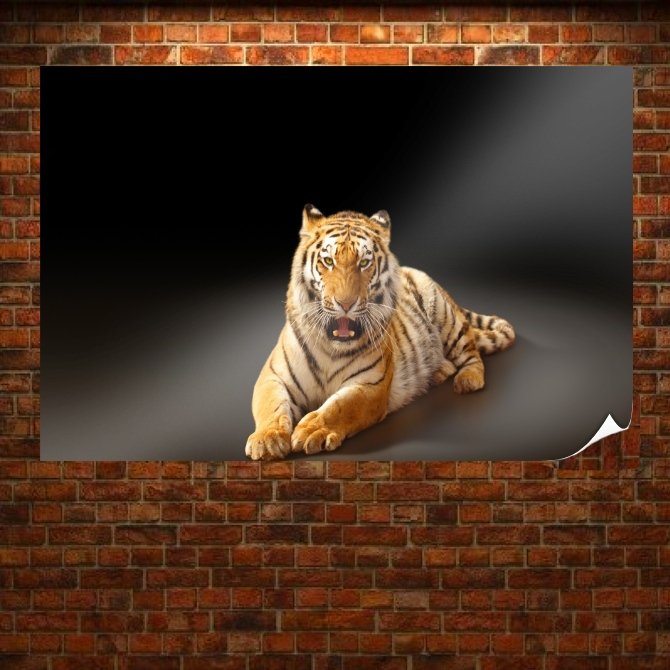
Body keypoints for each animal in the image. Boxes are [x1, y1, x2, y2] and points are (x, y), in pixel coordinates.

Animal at [245, 205, 515, 460]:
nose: (345, 304)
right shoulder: (272, 376)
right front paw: (267, 440)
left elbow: (339, 406)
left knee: (471, 352)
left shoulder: (369, 385)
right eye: (328, 261)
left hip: (445, 317)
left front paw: (311, 430)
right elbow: (271, 406)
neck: (331, 347)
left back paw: (468, 379)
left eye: (364, 263)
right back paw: (439, 372)